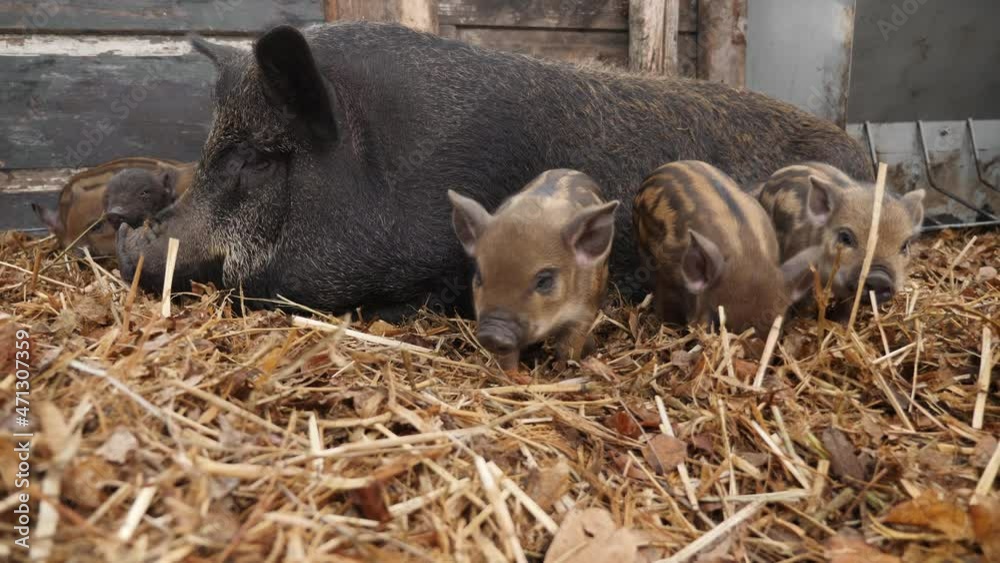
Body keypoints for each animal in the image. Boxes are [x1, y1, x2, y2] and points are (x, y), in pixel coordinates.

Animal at [448, 169, 619, 370]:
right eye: (479, 276)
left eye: (544, 281)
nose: (492, 334)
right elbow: (508, 356)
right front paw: (511, 374)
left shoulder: (583, 312)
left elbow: (568, 349)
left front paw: (562, 370)